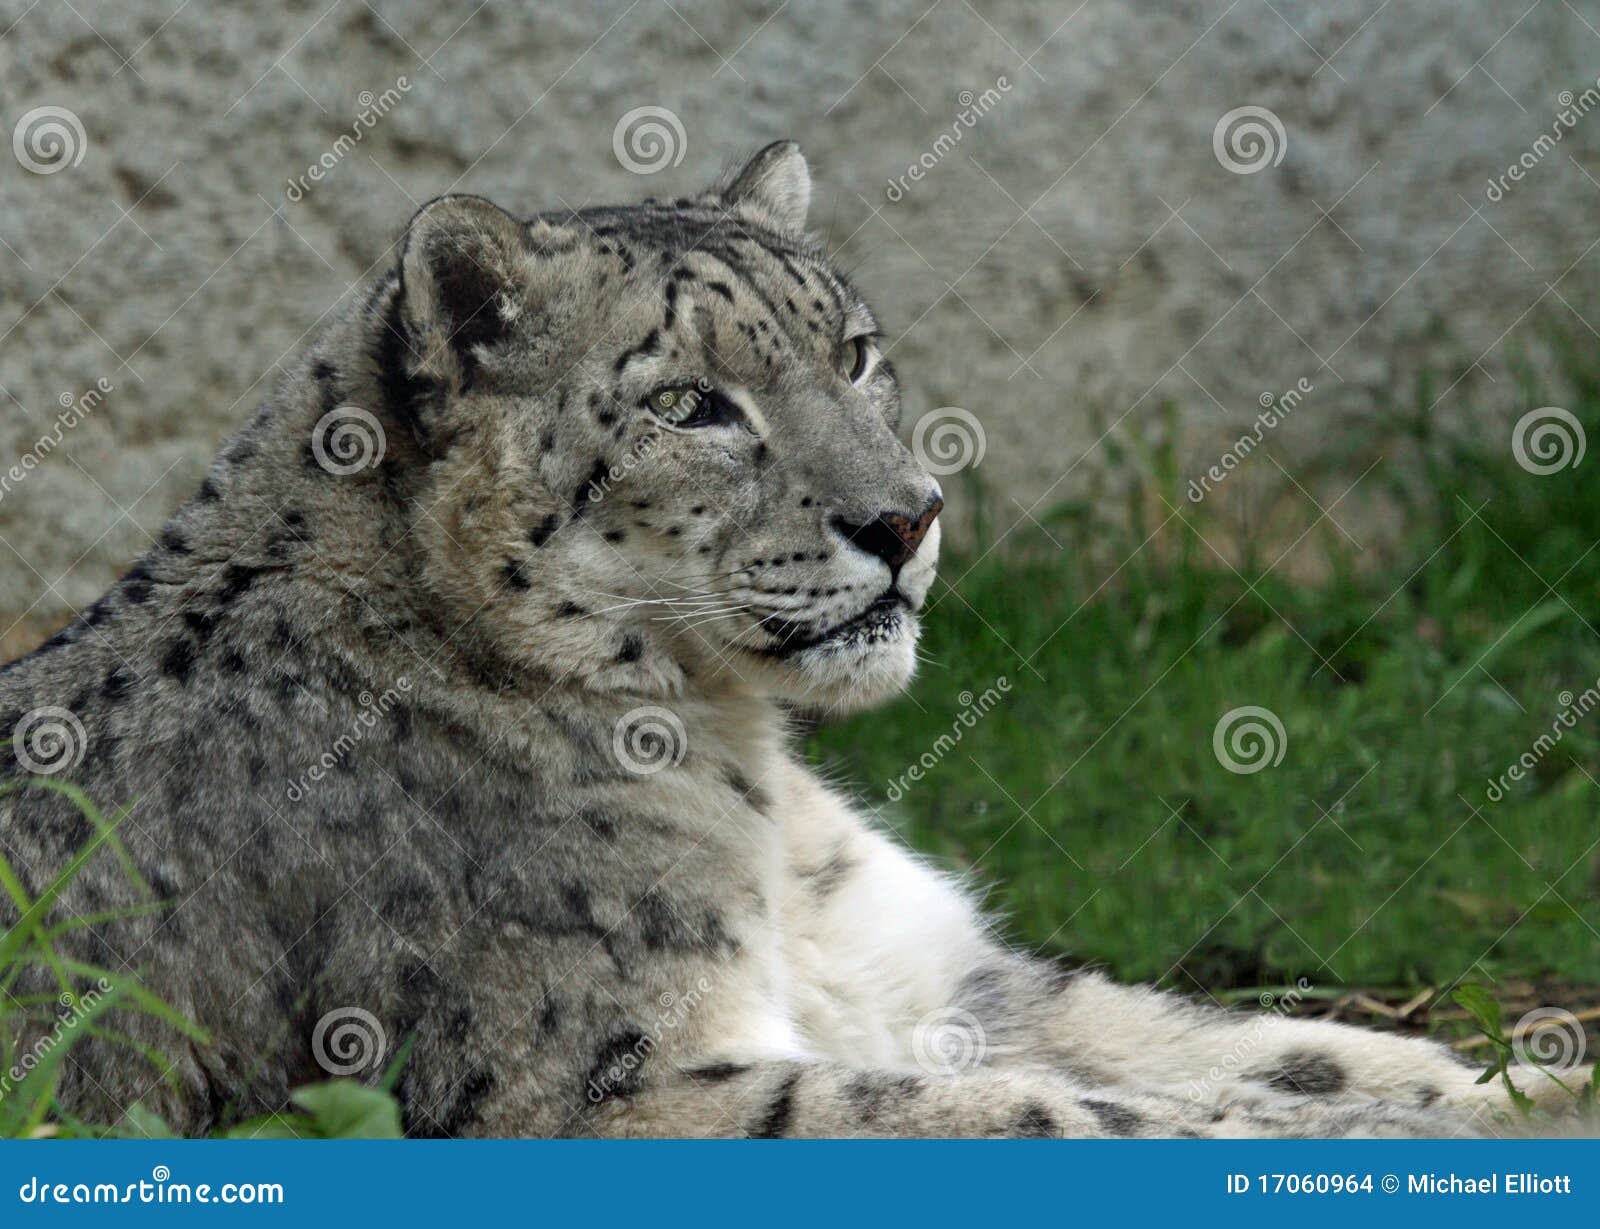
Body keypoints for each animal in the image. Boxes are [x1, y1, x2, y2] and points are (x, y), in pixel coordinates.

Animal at [0, 141, 1584, 1138]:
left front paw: (1524, 1093)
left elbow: (1247, 1044)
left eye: (856, 351)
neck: (749, 770)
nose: (908, 513)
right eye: (689, 403)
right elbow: (1052, 1109)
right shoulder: (601, 1080)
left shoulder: (936, 975)